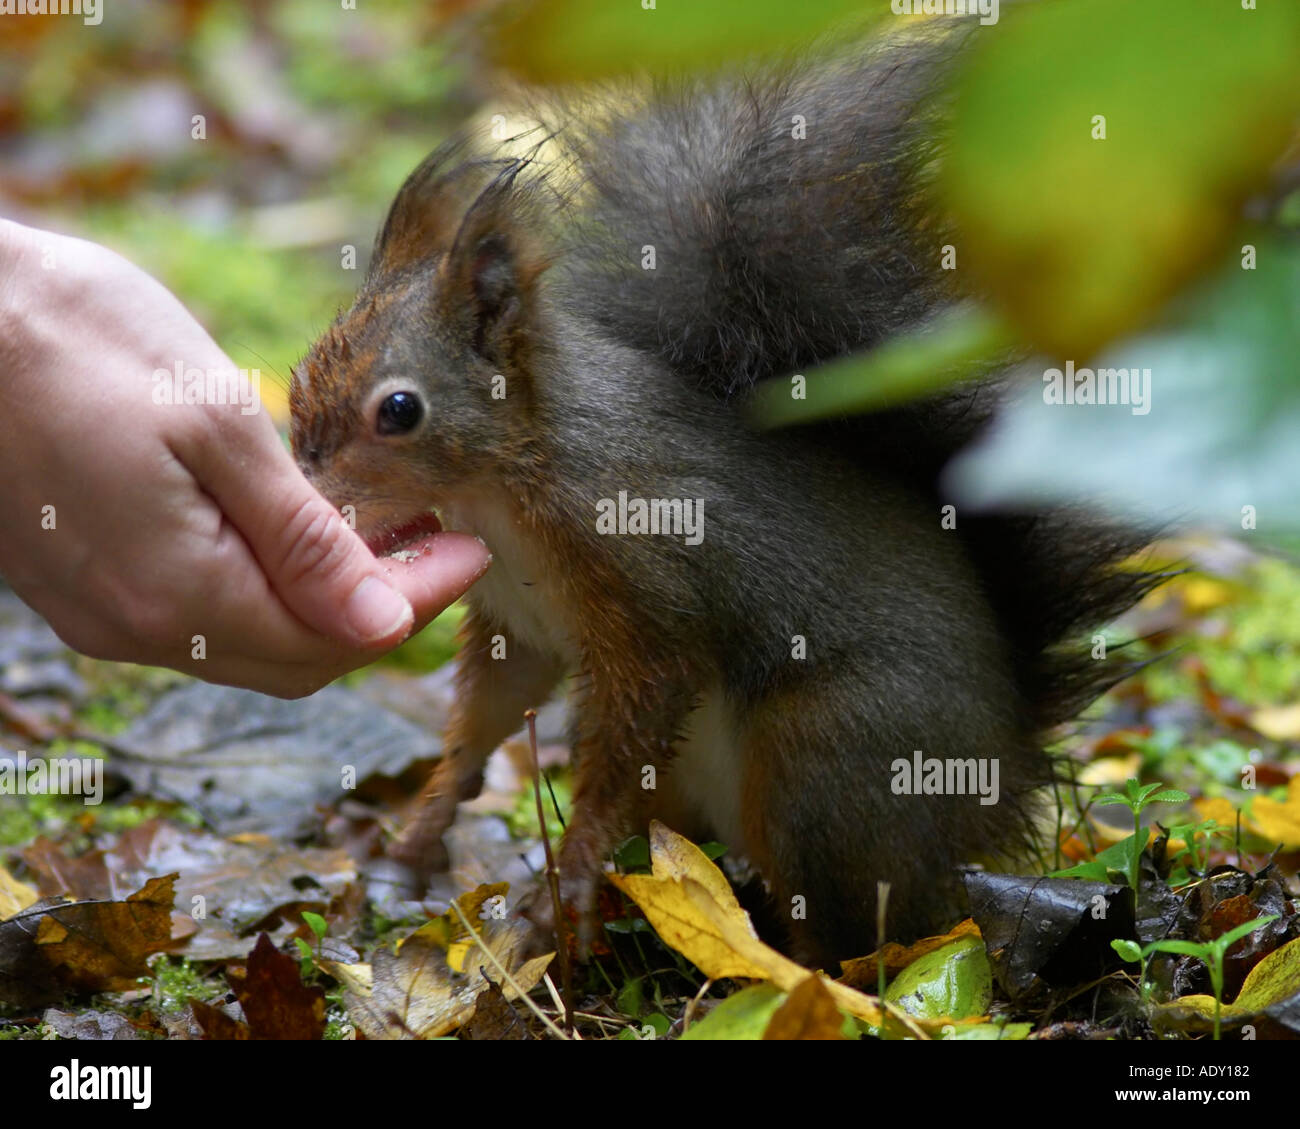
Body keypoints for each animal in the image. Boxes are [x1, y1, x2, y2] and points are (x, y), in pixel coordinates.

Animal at [289, 32, 1158, 967]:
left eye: (399, 410)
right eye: (299, 376)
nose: (310, 488)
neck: (505, 485)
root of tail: (1002, 777)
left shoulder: (648, 579)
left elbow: (635, 720)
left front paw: (563, 875)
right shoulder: (513, 618)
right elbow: (487, 714)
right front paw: (418, 838)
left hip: (830, 755)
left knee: (851, 931)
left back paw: (773, 969)